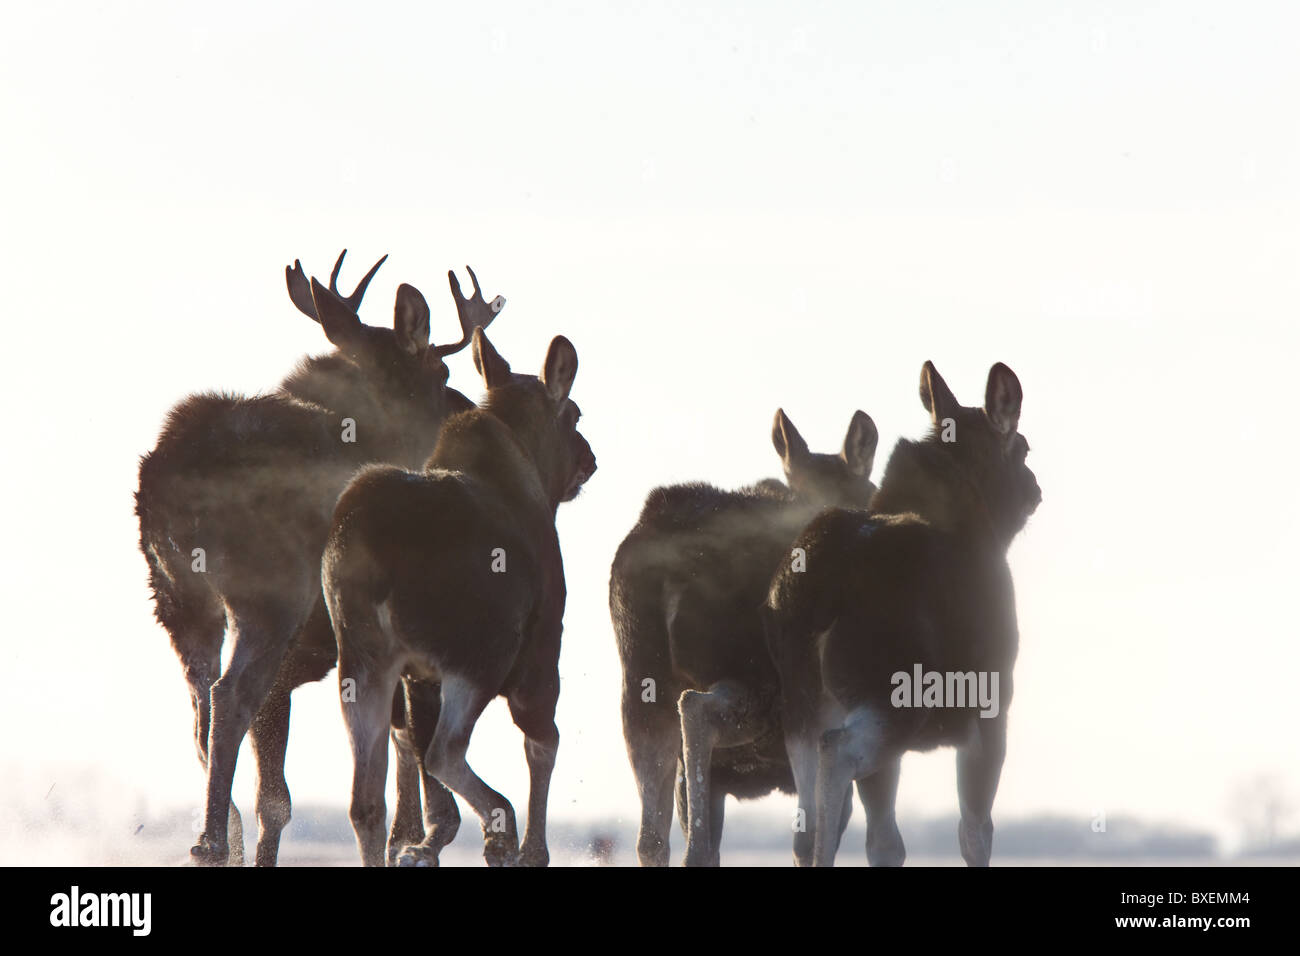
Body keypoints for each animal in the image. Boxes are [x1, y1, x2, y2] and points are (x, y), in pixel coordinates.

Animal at [136, 252, 504, 866]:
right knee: (229, 699)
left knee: (200, 712)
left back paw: (217, 836)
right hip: (270, 596)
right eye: (442, 375)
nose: (468, 415)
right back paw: (212, 841)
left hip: (178, 601)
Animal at [322, 327, 595, 867]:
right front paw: (529, 848)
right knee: (446, 750)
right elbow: (543, 742)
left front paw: (428, 843)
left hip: (362, 662)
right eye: (573, 414)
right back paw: (501, 824)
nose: (590, 458)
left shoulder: (418, 674)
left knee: (367, 798)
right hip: (479, 654)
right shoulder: (541, 648)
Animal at [764, 361, 1041, 866]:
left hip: (800, 704)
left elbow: (885, 841)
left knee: (805, 820)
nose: (1034, 486)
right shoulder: (991, 703)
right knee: (837, 754)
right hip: (896, 693)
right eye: (1023, 447)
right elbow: (975, 831)